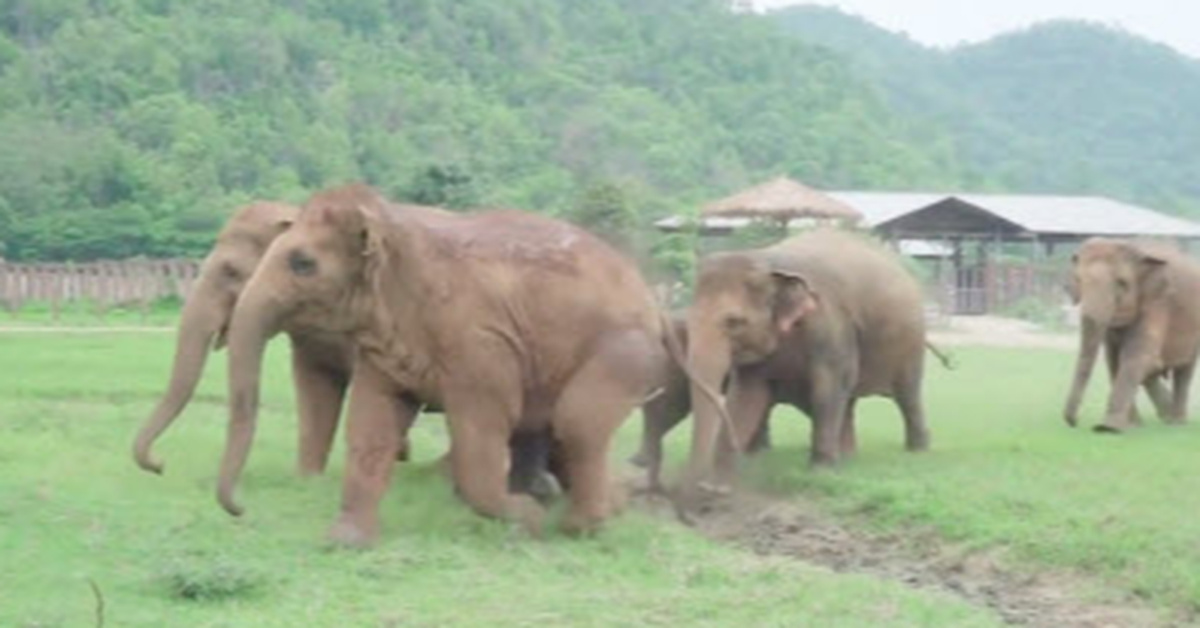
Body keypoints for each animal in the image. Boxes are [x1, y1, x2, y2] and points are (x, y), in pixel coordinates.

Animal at [218, 183, 677, 546]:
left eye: (303, 264)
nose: (240, 509)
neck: (396, 225)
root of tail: (652, 301)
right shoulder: (387, 341)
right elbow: (372, 421)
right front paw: (344, 542)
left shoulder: (480, 345)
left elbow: (480, 430)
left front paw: (526, 520)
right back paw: (603, 507)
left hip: (625, 351)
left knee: (575, 424)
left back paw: (579, 526)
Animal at [681, 229, 931, 490]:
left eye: (734, 322)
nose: (694, 483)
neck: (769, 259)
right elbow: (745, 396)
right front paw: (718, 484)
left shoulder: (831, 325)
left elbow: (827, 389)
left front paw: (821, 473)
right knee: (850, 400)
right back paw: (848, 456)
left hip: (911, 341)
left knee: (907, 395)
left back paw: (917, 451)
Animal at [1062, 237, 1200, 432]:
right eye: (1079, 280)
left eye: (1121, 283)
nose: (1074, 422)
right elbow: (1114, 360)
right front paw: (1132, 426)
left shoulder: (1158, 302)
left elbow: (1136, 356)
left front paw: (1107, 428)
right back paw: (1165, 414)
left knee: (1184, 370)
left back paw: (1176, 422)